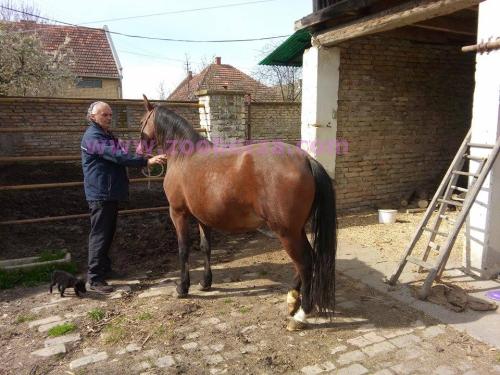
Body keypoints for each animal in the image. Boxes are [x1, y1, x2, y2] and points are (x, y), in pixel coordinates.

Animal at [139, 95, 338, 330]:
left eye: (142, 121)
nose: (140, 150)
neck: (184, 157)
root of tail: (307, 160)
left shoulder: (178, 213)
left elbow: (183, 249)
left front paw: (183, 287)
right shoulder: (202, 217)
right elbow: (206, 248)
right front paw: (205, 282)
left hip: (287, 232)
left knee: (305, 262)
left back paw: (301, 315)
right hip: (296, 230)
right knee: (307, 259)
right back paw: (292, 299)